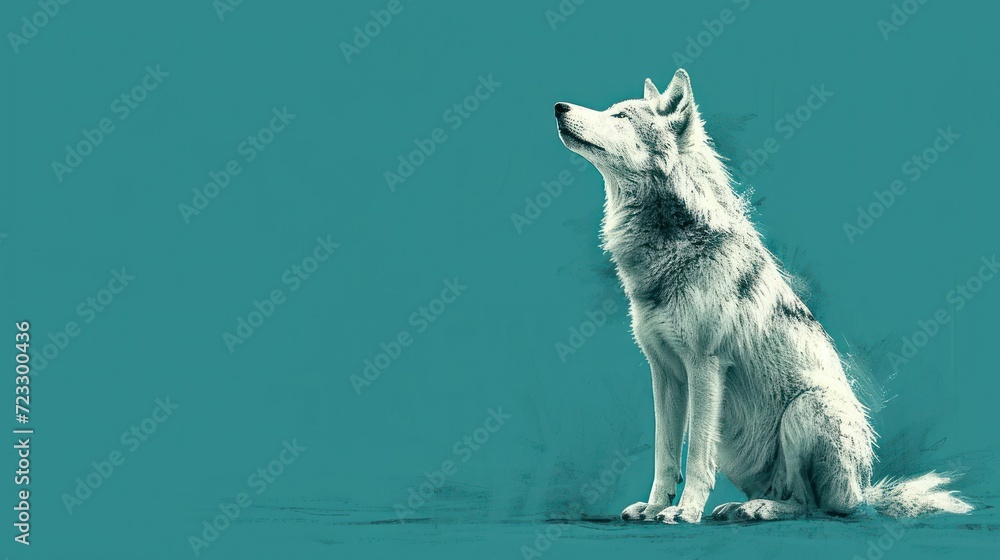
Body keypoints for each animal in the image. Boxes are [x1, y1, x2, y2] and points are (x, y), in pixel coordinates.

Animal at [554, 69, 973, 523]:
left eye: (619, 116)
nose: (558, 107)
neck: (673, 246)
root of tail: (863, 491)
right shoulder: (664, 373)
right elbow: (664, 456)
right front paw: (654, 507)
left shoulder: (705, 367)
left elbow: (695, 455)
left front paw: (685, 511)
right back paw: (739, 505)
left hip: (804, 410)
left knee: (811, 507)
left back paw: (761, 508)